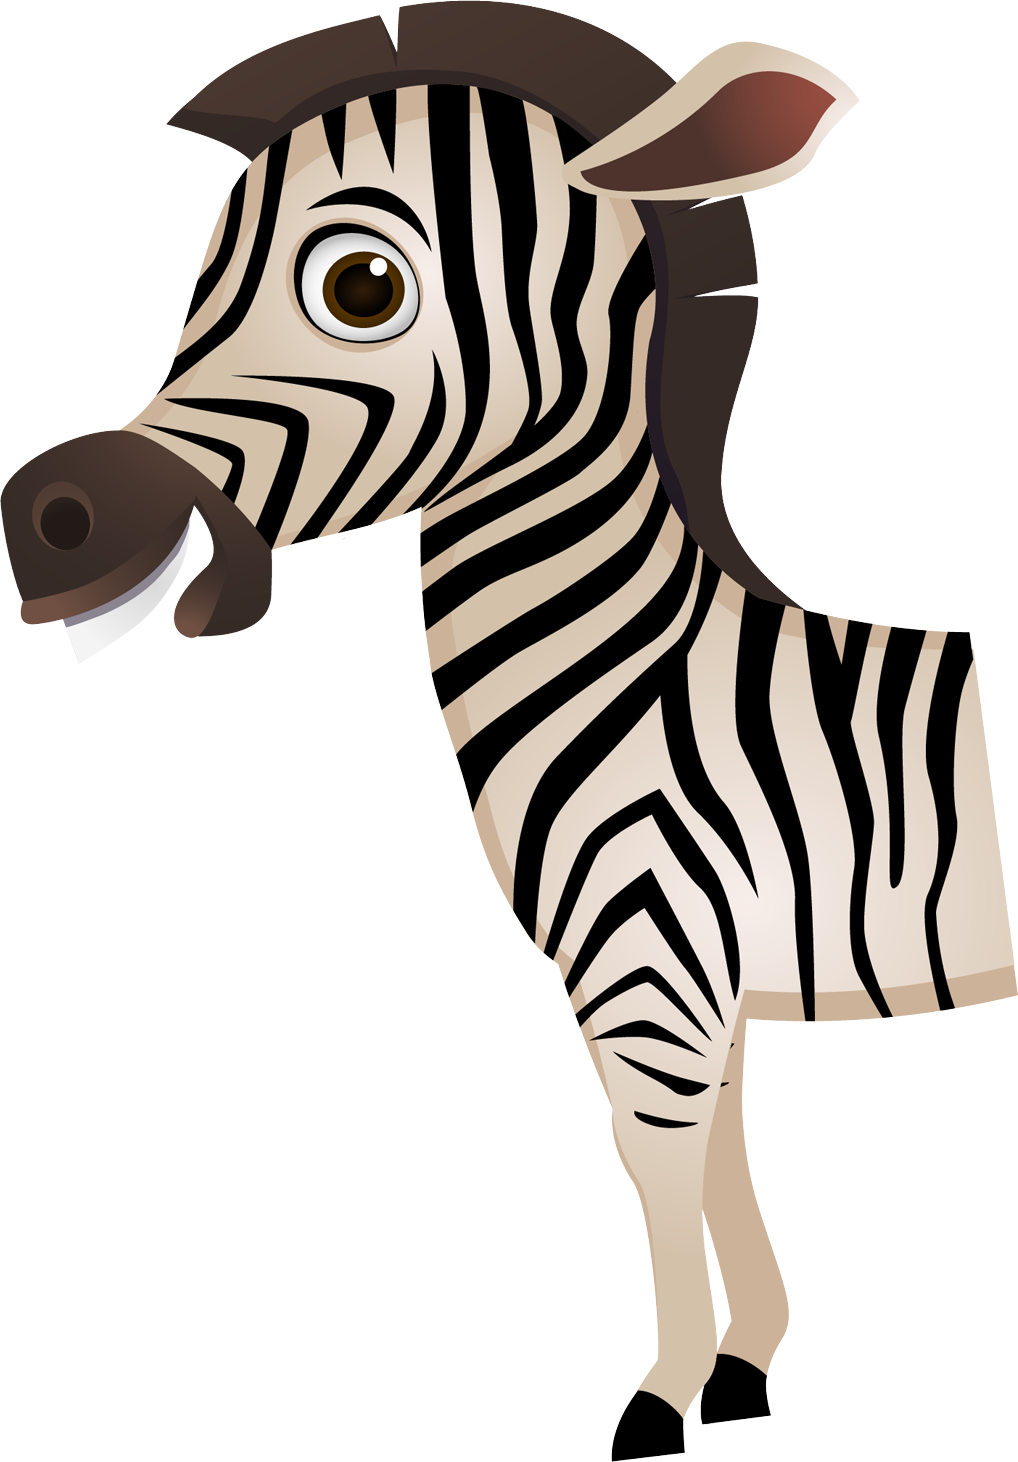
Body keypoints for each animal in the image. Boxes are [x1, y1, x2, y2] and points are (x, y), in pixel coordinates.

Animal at [143, 86, 1013, 1428]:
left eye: (358, 287)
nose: (179, 594)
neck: (632, 665)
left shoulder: (662, 966)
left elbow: (658, 1168)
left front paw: (670, 1390)